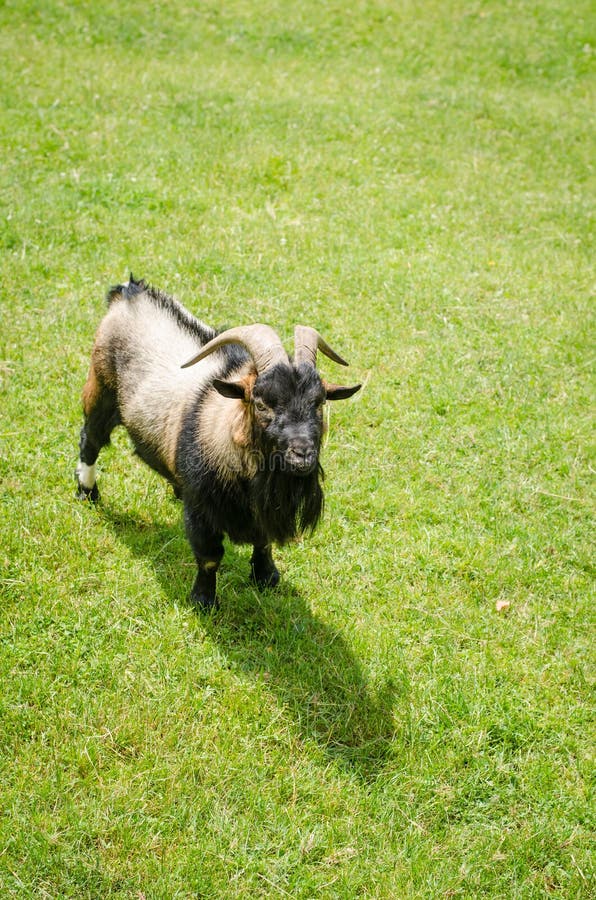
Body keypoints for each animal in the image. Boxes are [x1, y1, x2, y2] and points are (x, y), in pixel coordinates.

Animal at [76, 276, 360, 608]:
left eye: (319, 403)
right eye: (261, 403)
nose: (302, 455)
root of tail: (129, 292)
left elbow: (263, 542)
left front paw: (266, 577)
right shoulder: (201, 509)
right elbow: (210, 555)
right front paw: (203, 601)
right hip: (100, 389)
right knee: (90, 440)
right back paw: (87, 493)